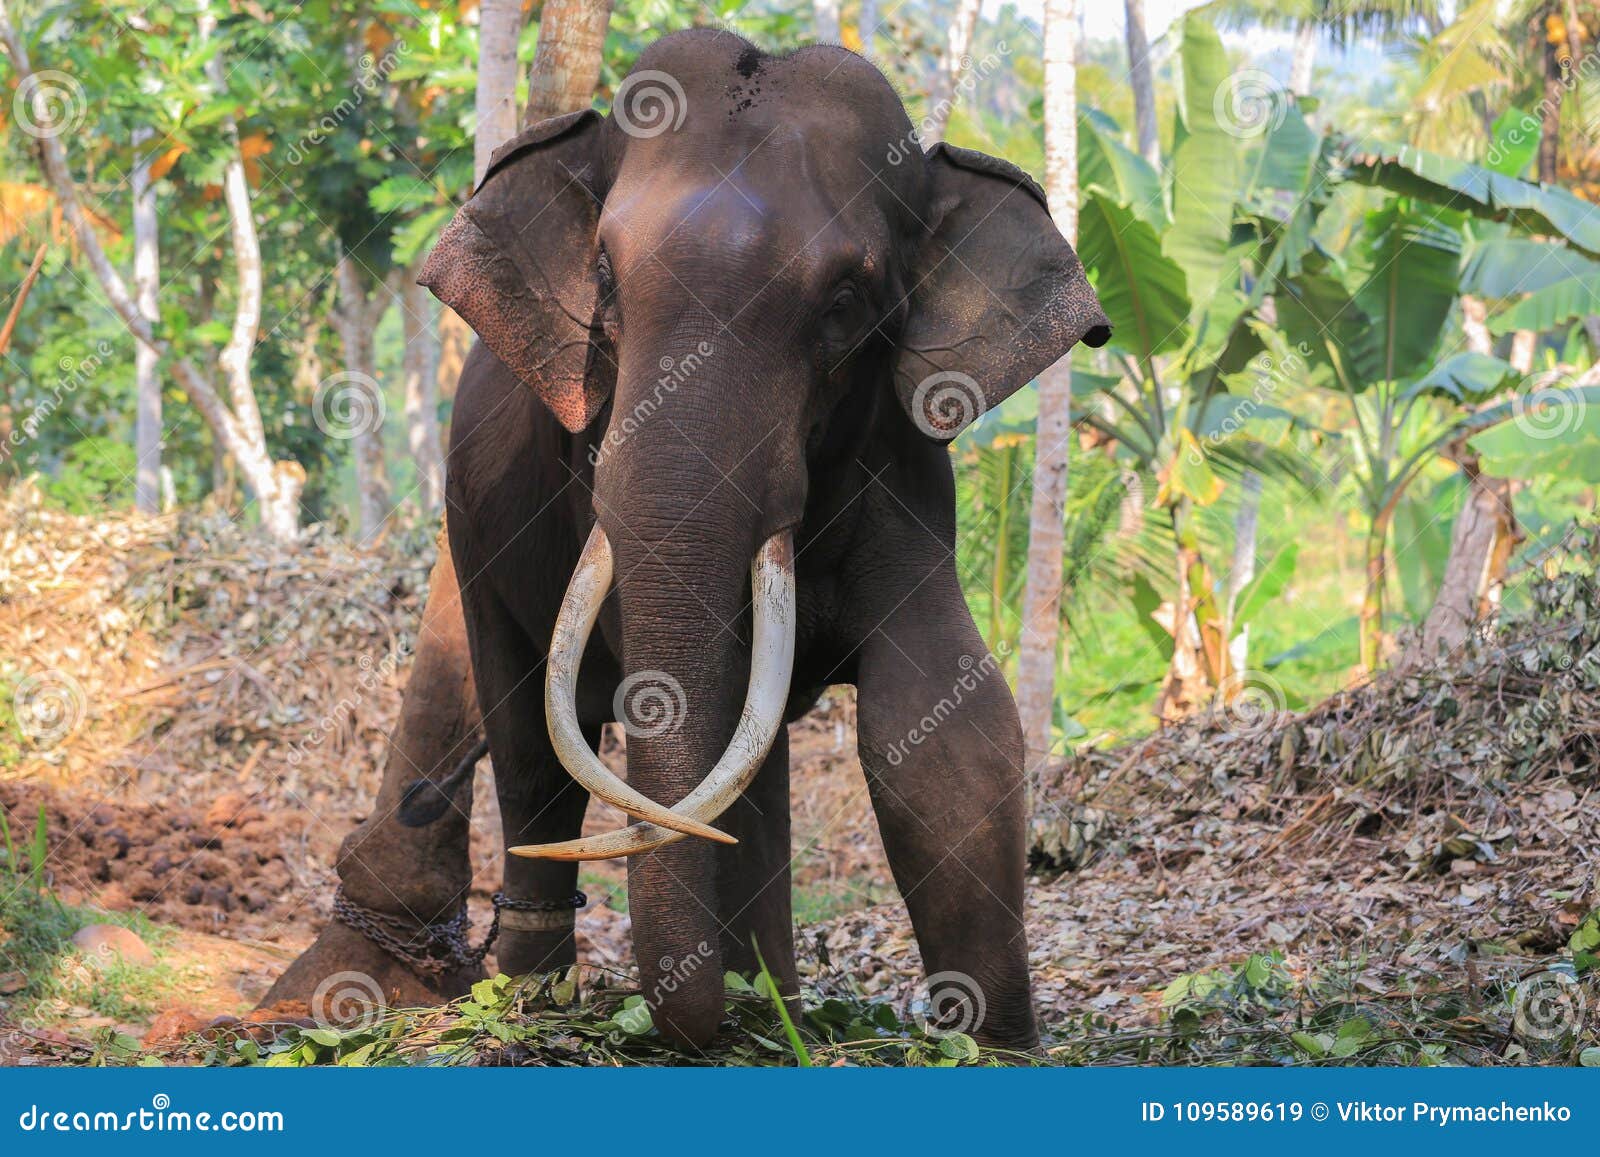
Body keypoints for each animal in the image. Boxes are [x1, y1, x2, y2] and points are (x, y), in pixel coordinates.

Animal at [270, 29, 1109, 1052]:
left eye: (844, 301)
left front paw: (992, 1045)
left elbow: (943, 723)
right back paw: (534, 996)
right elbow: (690, 705)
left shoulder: (906, 473)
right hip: (469, 528)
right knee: (526, 736)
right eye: (603, 277)